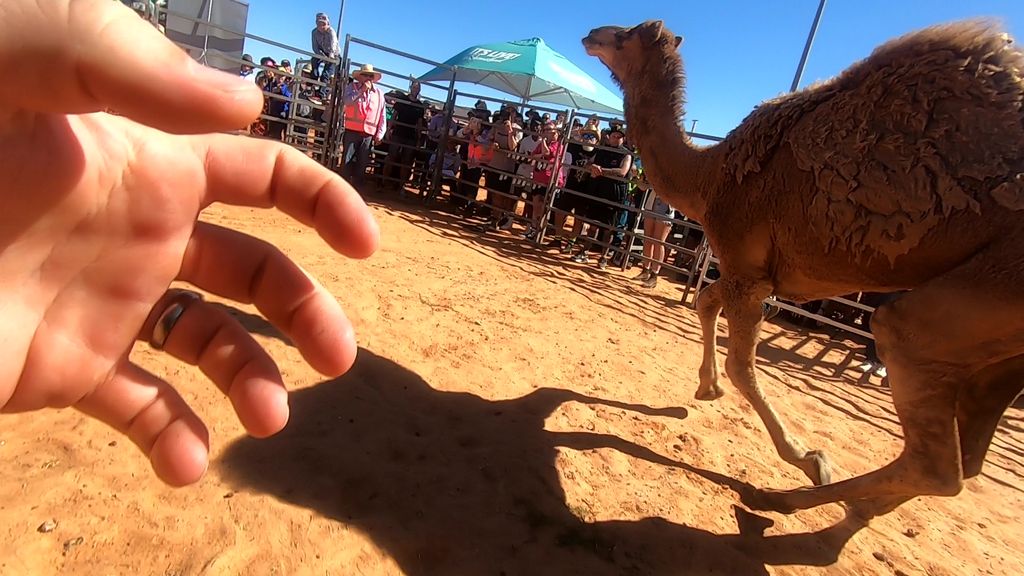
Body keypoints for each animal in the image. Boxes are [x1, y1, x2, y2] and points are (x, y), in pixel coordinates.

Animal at [583, 19, 1024, 519]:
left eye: (625, 36)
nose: (592, 33)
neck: (711, 174)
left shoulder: (746, 267)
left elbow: (741, 363)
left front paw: (806, 457)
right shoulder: (748, 271)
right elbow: (705, 299)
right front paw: (706, 390)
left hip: (975, 297)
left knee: (936, 454)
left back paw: (788, 495)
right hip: (1002, 347)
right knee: (968, 456)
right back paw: (858, 508)